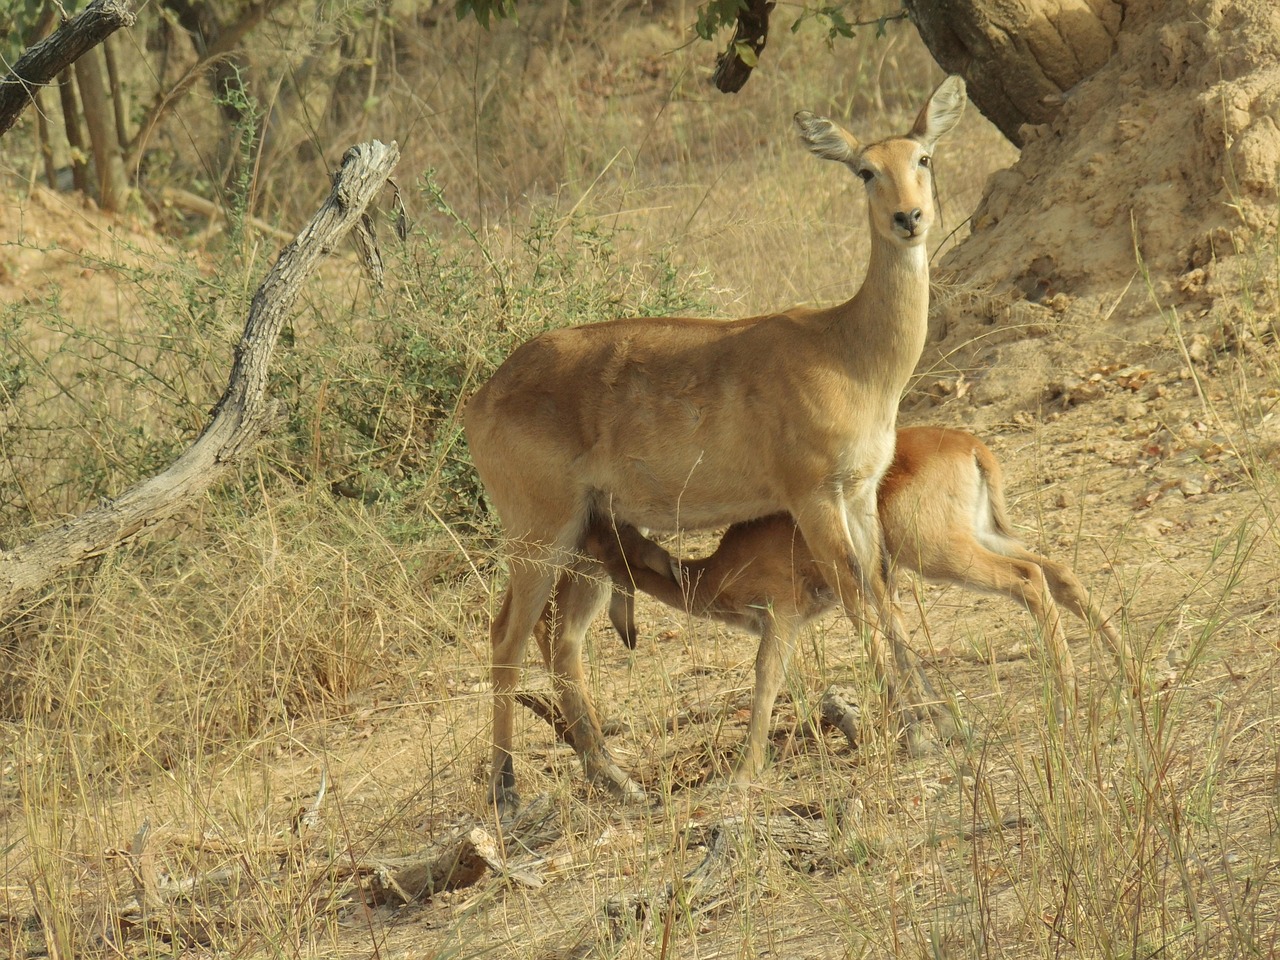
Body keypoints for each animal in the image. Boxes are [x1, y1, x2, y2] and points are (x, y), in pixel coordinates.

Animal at [465, 76, 967, 811]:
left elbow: (883, 591)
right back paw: (507, 791)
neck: (847, 351)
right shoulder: (813, 497)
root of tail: (481, 396)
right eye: (865, 169)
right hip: (538, 532)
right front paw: (920, 736)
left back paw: (618, 781)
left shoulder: (859, 493)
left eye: (923, 156)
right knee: (507, 634)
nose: (910, 218)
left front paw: (941, 721)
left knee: (560, 642)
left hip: (584, 542)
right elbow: (855, 596)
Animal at [592, 426, 1131, 775]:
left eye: (605, 544)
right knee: (1058, 572)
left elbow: (766, 680)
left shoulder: (782, 617)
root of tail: (970, 445)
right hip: (983, 535)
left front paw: (744, 774)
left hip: (941, 552)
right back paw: (1127, 674)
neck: (714, 571)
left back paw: (1066, 701)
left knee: (1030, 580)